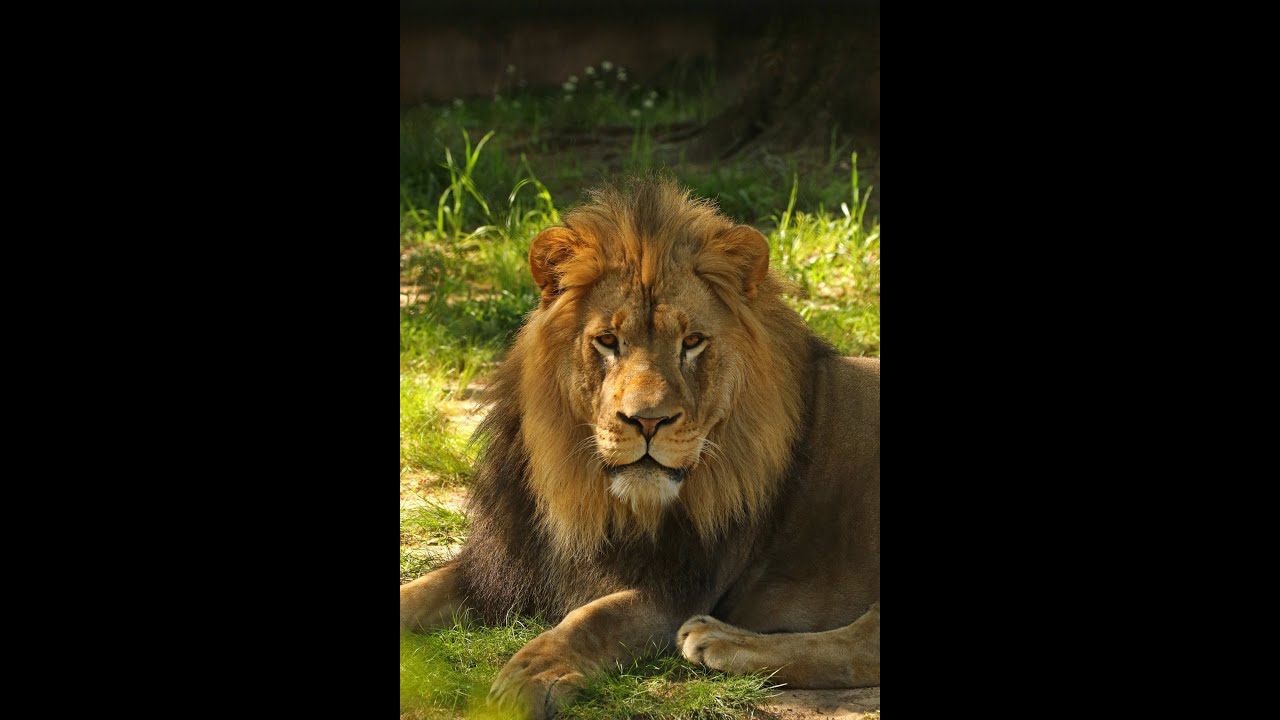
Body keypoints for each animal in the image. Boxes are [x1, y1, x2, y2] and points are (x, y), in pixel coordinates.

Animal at [400, 176, 879, 719]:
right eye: (608, 340)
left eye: (692, 341)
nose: (648, 420)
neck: (583, 491)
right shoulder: (508, 558)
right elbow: (416, 591)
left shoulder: (676, 588)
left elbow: (590, 619)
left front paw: (529, 676)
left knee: (861, 647)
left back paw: (718, 641)